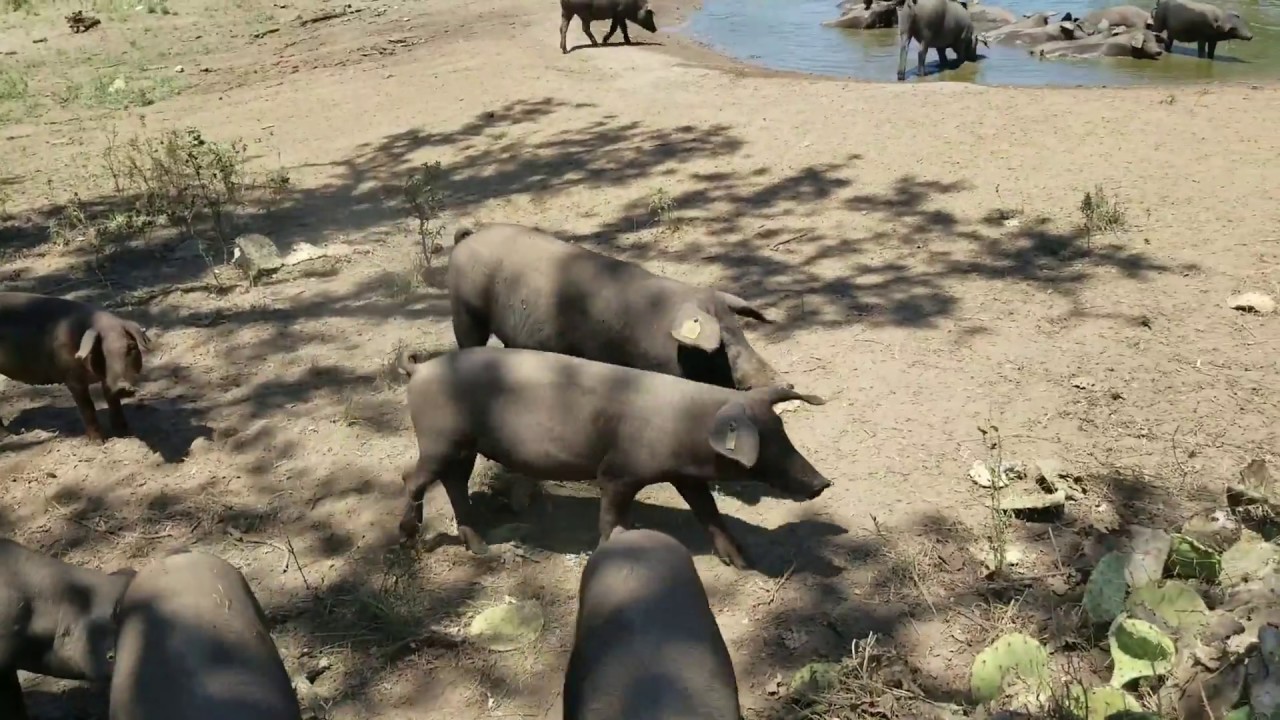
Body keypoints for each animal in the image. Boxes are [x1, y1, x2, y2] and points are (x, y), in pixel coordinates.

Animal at [0, 292, 152, 442]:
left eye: (131, 346)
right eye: (102, 351)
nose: (123, 385)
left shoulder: (107, 379)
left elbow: (112, 400)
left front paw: (125, 433)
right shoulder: (72, 378)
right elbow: (87, 407)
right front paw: (98, 442)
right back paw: (7, 436)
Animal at [396, 346, 832, 570]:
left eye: (783, 431)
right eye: (765, 442)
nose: (822, 482)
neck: (687, 426)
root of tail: (419, 369)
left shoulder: (684, 476)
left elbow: (708, 511)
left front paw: (742, 561)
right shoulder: (618, 472)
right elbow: (610, 516)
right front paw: (610, 546)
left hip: (463, 447)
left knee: (454, 484)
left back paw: (481, 549)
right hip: (440, 439)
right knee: (412, 479)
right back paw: (407, 538)